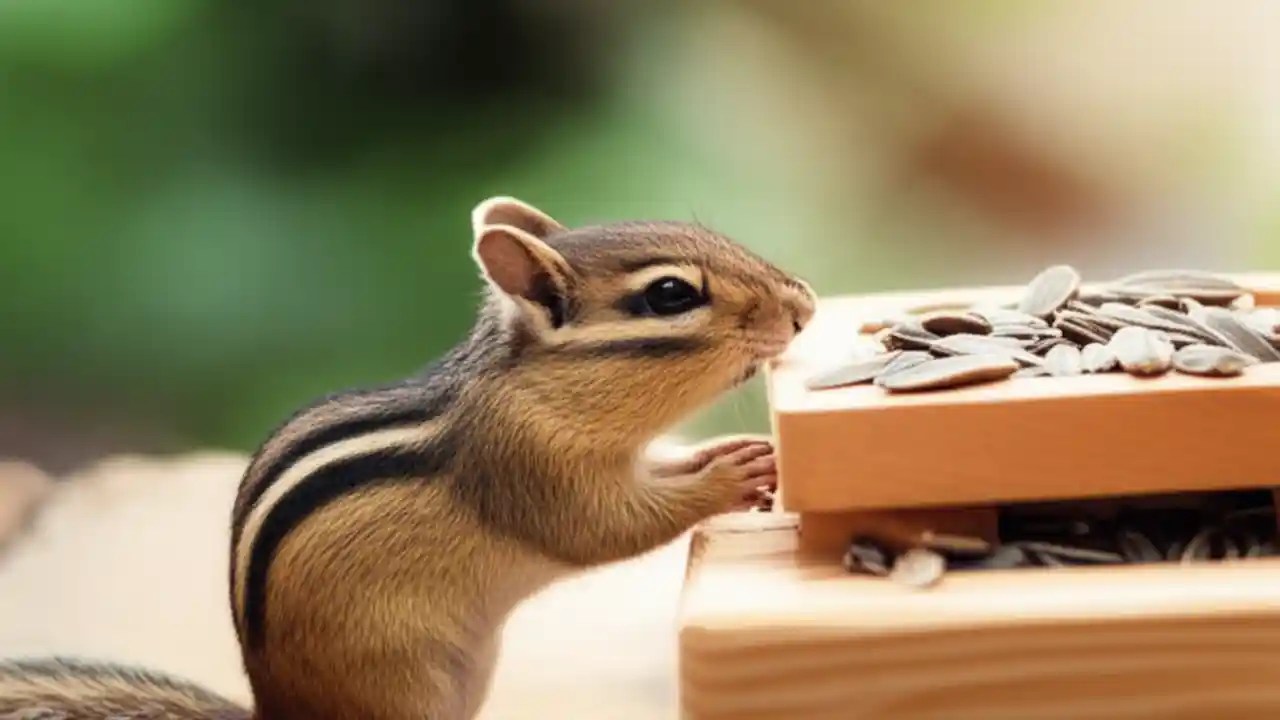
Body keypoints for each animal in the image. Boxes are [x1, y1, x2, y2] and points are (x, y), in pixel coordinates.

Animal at [0, 196, 816, 720]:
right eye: (671, 293)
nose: (805, 303)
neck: (536, 387)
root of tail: (280, 715)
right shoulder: (526, 465)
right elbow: (603, 528)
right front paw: (730, 475)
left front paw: (732, 452)